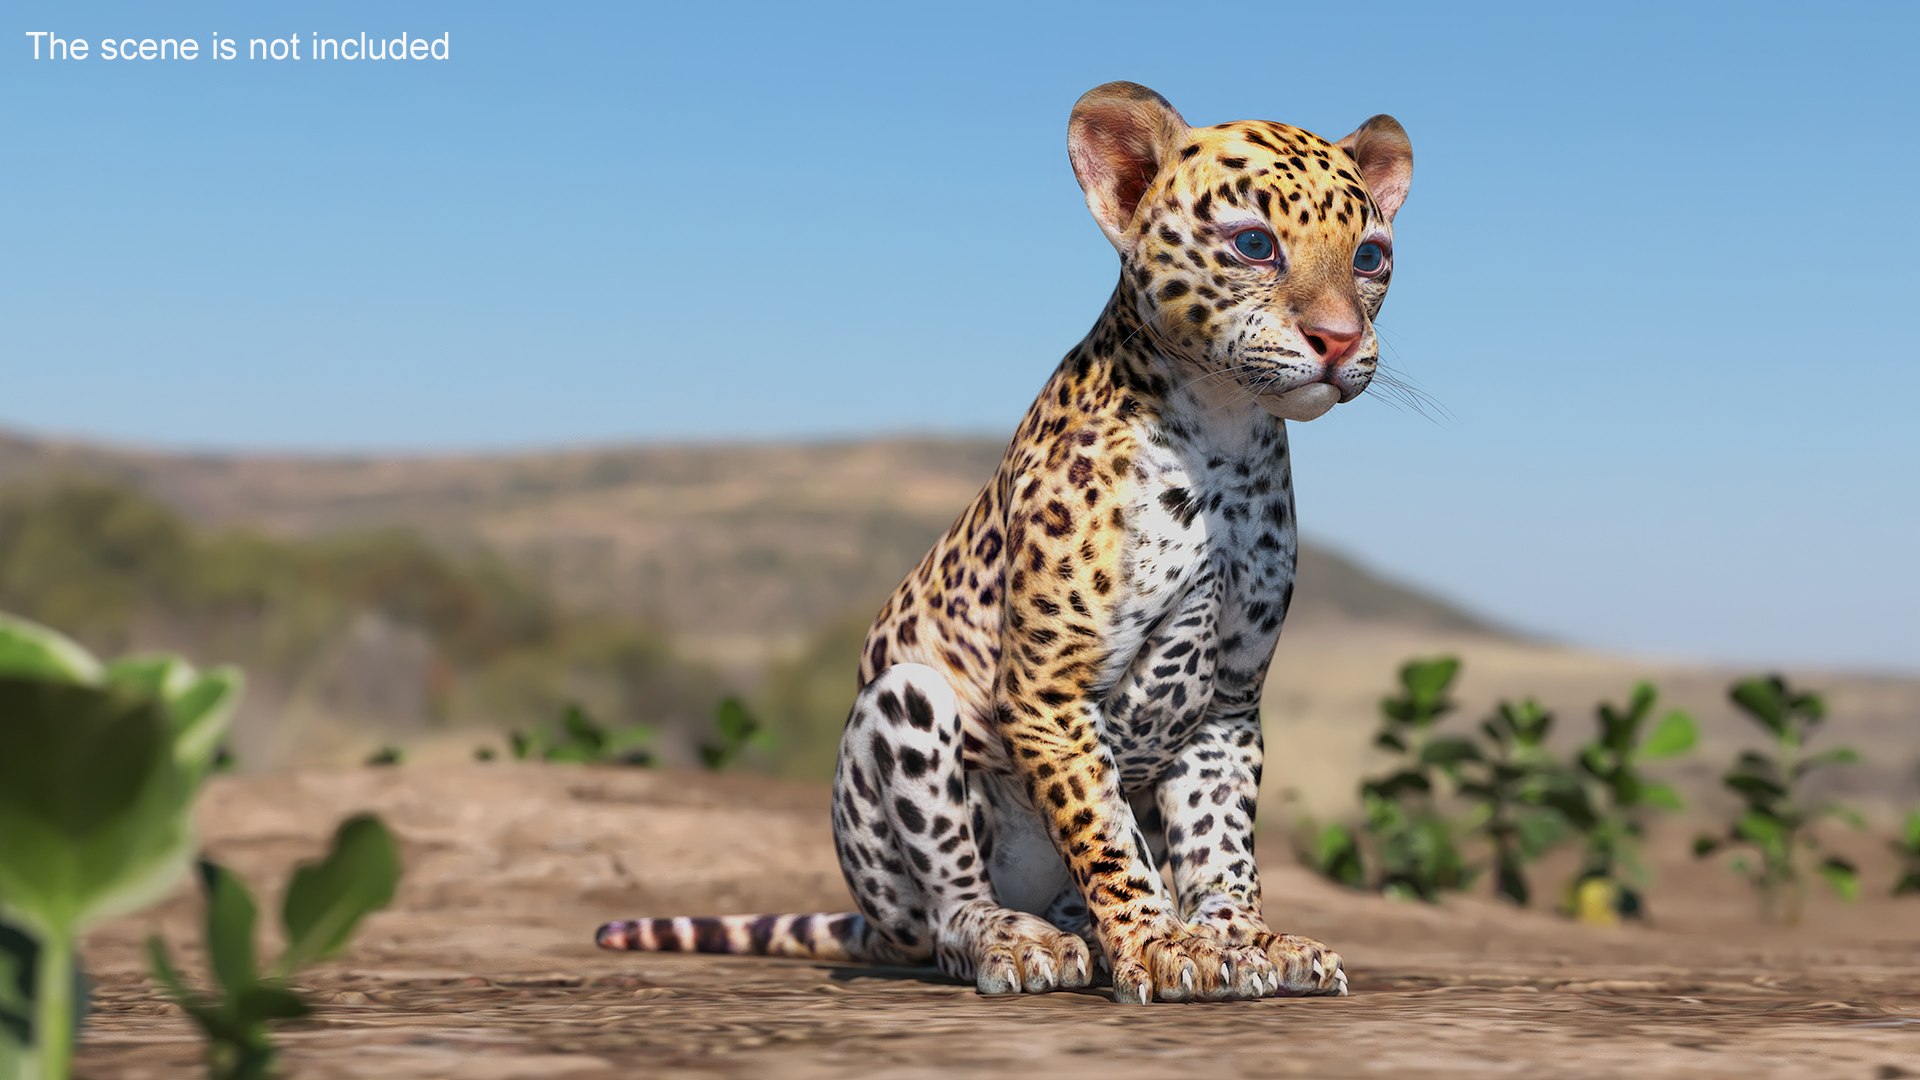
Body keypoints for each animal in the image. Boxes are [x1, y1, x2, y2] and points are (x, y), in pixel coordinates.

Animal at [597, 81, 1413, 1003]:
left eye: (1371, 258)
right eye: (1253, 244)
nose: (1338, 341)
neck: (1224, 435)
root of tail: (875, 925)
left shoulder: (1229, 704)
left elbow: (1221, 839)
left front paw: (1244, 937)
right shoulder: (1050, 691)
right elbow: (1106, 834)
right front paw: (1160, 944)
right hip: (905, 714)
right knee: (948, 908)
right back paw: (1016, 941)